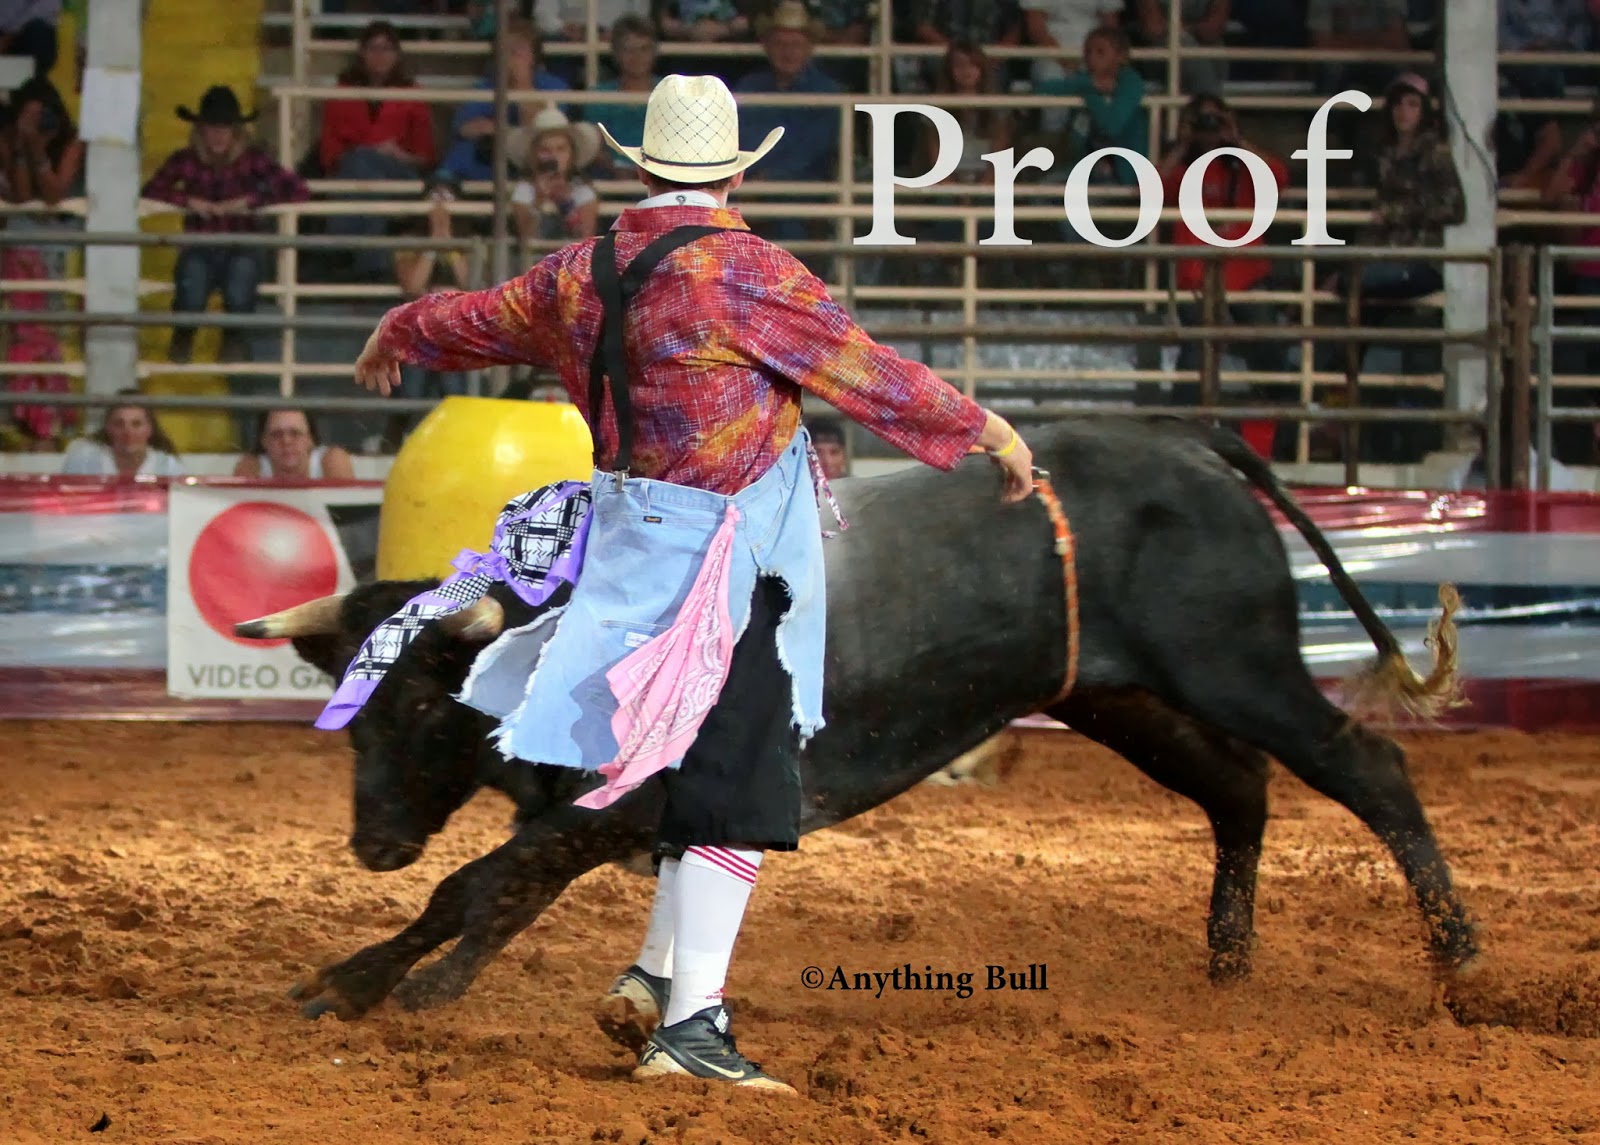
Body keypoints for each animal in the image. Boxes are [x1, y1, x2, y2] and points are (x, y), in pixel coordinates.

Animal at [242, 417, 1477, 1024]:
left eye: (419, 698)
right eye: (346, 703)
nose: (372, 842)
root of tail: (1191, 448)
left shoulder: (620, 797)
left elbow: (486, 882)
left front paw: (378, 986)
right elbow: (510, 885)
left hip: (1239, 664)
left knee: (1367, 766)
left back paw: (1459, 964)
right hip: (1115, 693)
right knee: (1238, 788)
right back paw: (1225, 962)